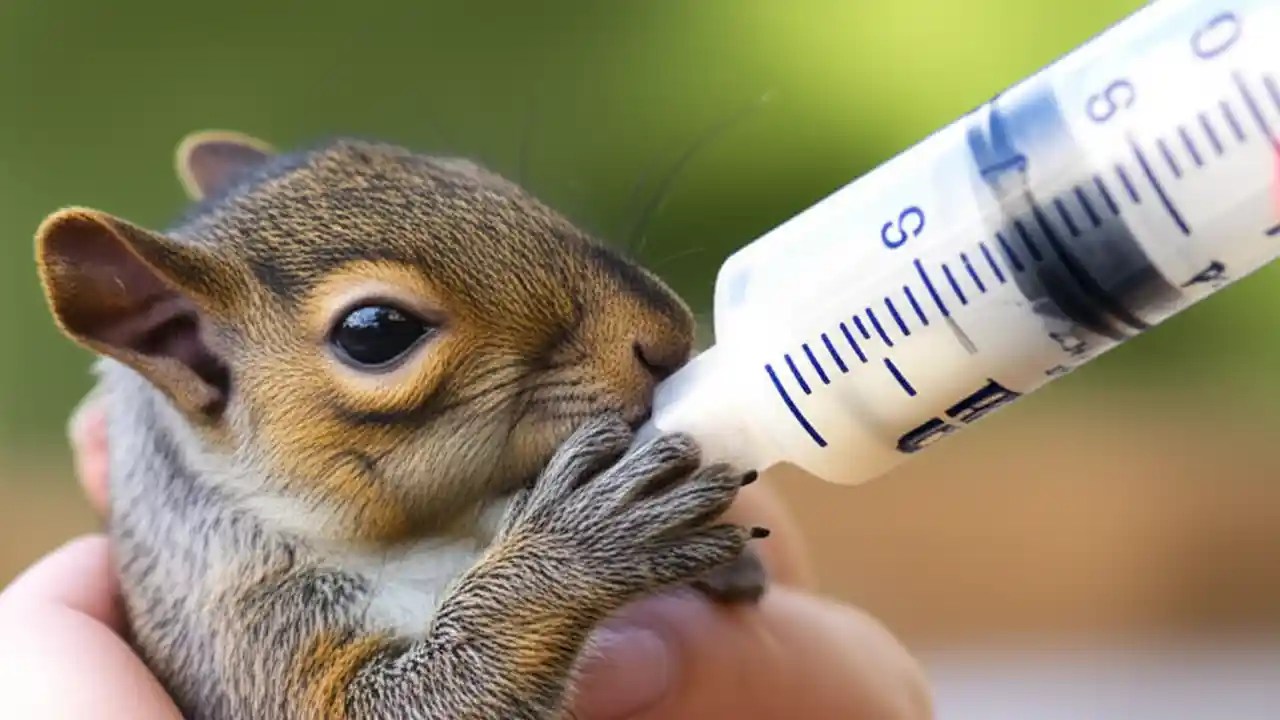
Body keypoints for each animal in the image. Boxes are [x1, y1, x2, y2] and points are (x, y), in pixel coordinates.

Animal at [33, 131, 770, 720]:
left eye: (472, 171)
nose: (668, 333)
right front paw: (578, 545)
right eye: (376, 332)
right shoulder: (239, 630)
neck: (433, 534)